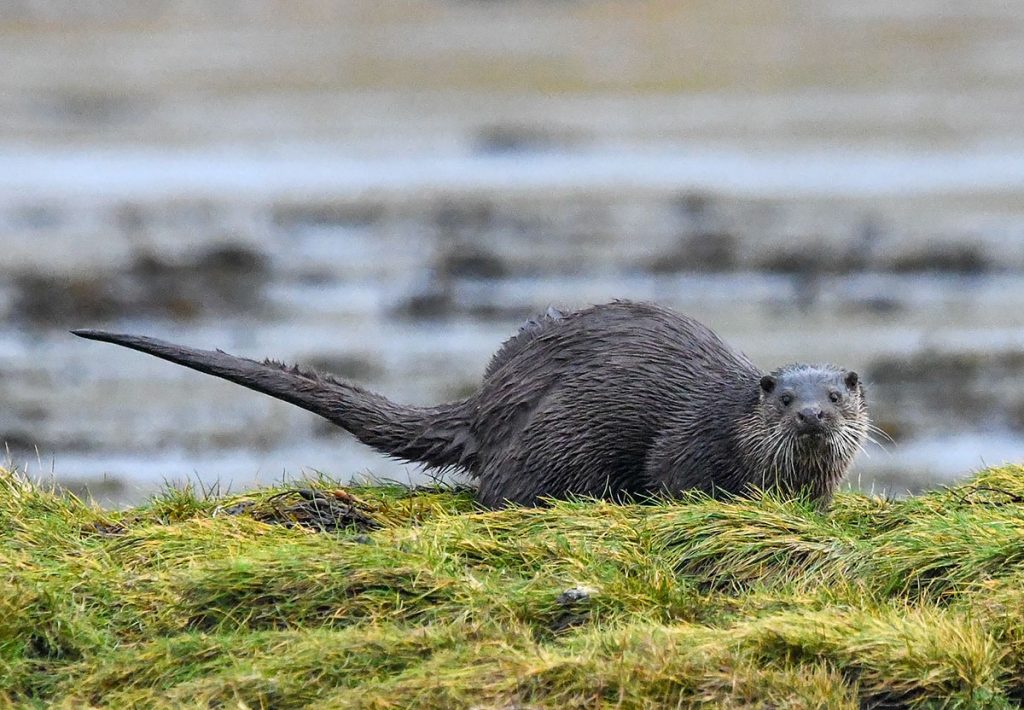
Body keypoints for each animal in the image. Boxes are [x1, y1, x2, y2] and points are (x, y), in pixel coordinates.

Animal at [72, 301, 869, 508]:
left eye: (834, 394)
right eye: (784, 397)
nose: (811, 415)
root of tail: (487, 407)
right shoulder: (688, 443)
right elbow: (676, 481)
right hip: (556, 441)